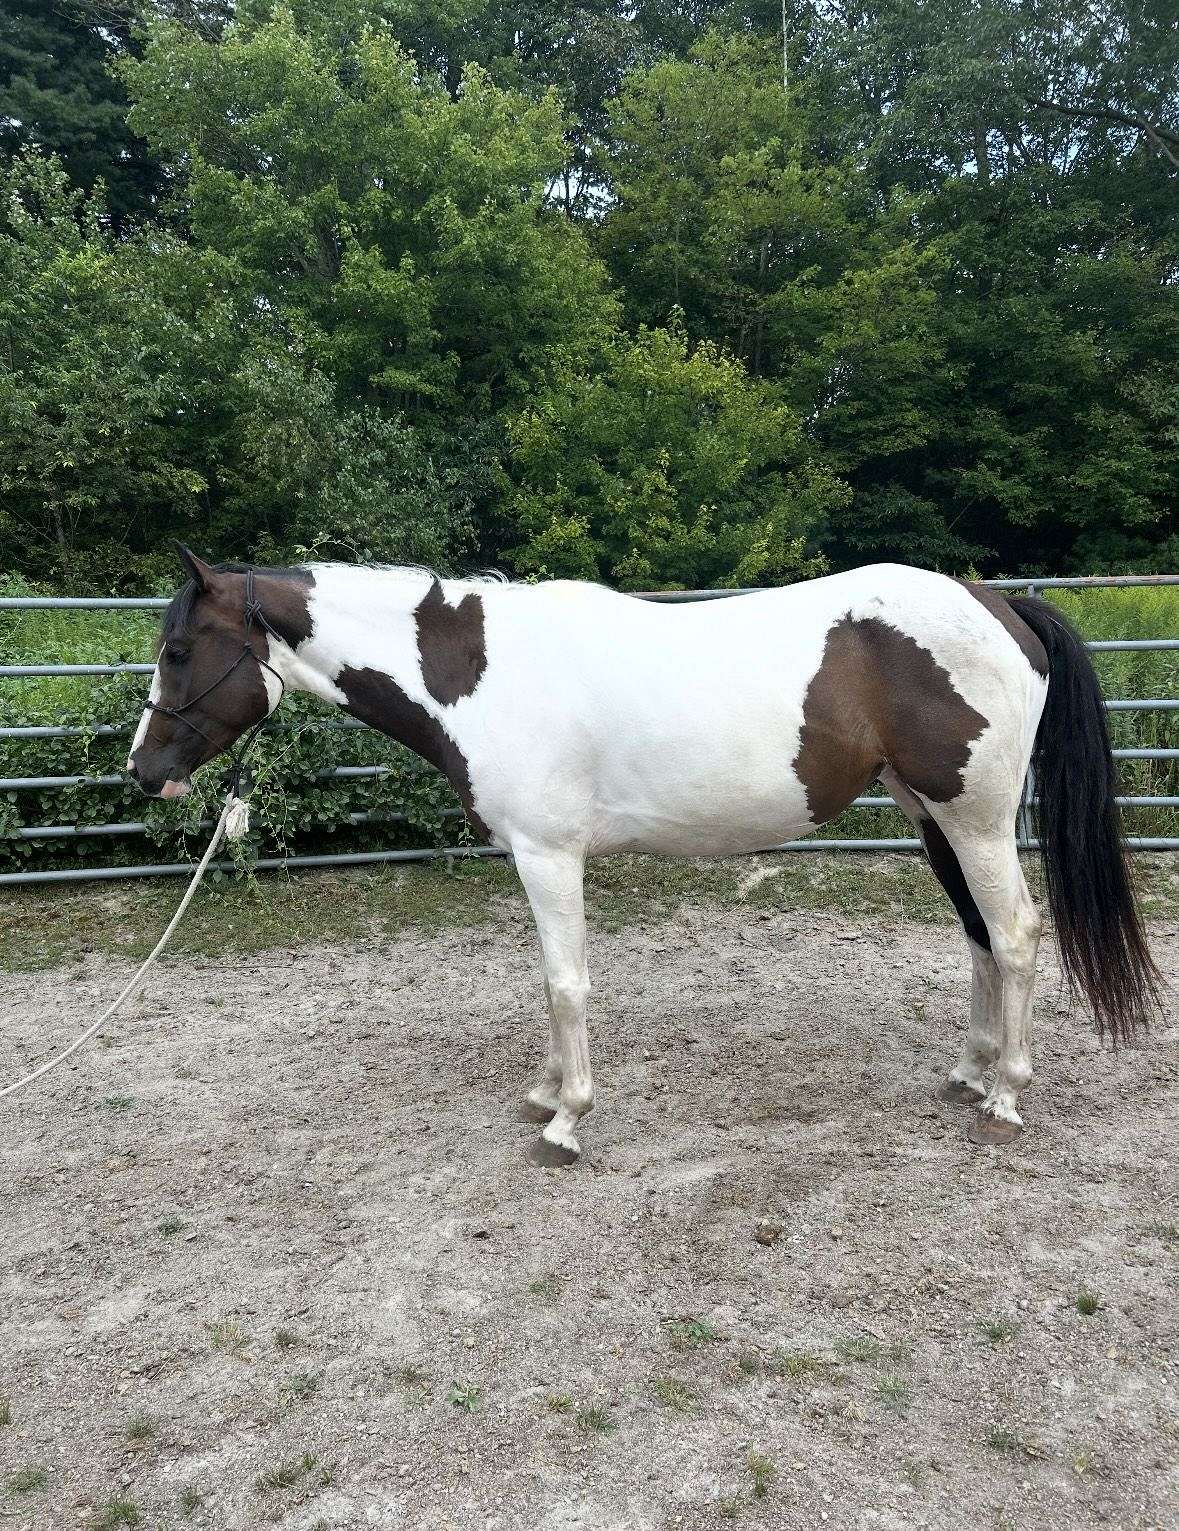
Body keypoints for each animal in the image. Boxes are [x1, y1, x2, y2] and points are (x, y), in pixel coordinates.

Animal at [128, 548, 1160, 1165]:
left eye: (178, 649)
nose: (144, 770)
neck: (482, 675)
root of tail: (997, 604)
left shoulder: (549, 855)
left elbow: (565, 984)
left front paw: (566, 1117)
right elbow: (548, 981)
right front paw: (544, 1090)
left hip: (972, 819)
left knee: (1015, 934)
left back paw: (1005, 1097)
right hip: (931, 818)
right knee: (980, 938)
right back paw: (970, 1071)